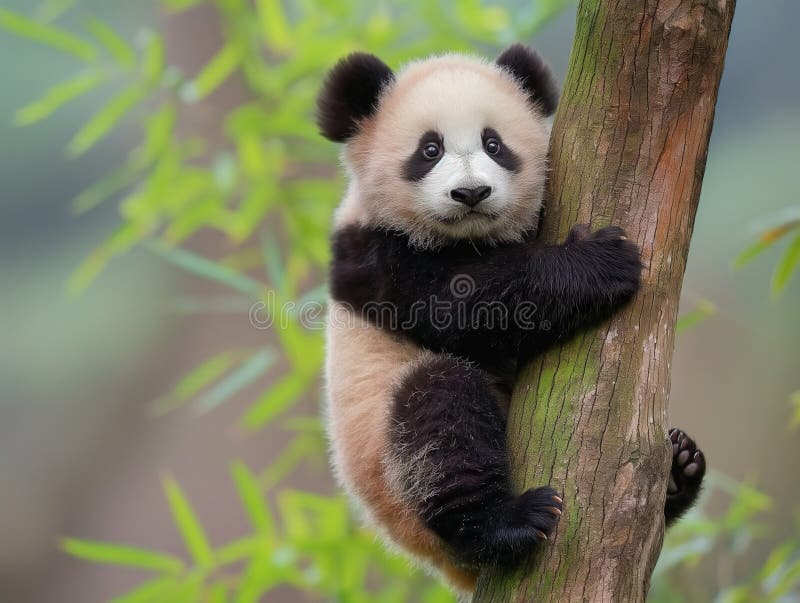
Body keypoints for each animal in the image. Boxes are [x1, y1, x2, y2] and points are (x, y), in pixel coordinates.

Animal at [319, 44, 706, 594]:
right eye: (429, 150)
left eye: (494, 144)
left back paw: (678, 469)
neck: (470, 238)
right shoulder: (375, 257)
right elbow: (468, 302)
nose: (471, 194)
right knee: (439, 421)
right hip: (386, 464)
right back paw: (505, 523)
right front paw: (602, 262)